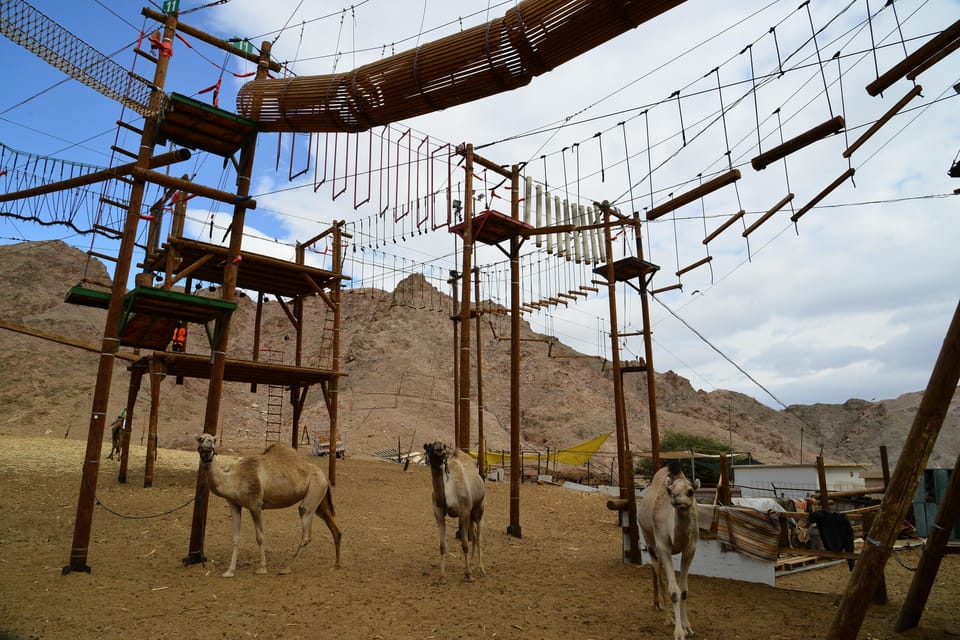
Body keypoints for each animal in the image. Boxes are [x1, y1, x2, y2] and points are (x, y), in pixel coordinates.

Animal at [195, 433, 341, 577]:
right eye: (200, 439)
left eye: (213, 439)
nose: (209, 444)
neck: (232, 480)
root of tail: (325, 476)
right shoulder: (234, 505)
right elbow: (236, 538)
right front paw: (229, 571)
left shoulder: (255, 505)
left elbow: (260, 537)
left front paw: (262, 568)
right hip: (320, 500)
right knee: (334, 529)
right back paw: (336, 565)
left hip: (314, 492)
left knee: (305, 527)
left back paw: (286, 568)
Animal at [423, 440, 485, 583]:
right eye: (430, 446)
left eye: (443, 446)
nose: (439, 449)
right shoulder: (438, 514)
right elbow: (442, 546)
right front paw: (442, 577)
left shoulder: (464, 512)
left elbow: (465, 544)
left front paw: (468, 575)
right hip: (471, 513)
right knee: (474, 535)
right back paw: (472, 564)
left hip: (478, 509)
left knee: (479, 536)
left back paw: (481, 568)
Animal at [637, 460, 700, 640]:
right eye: (670, 491)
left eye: (690, 491)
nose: (675, 498)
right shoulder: (663, 547)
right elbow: (674, 591)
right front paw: (678, 632)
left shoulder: (690, 548)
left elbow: (684, 590)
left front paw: (688, 628)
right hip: (650, 542)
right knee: (658, 573)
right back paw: (667, 616)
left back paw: (658, 605)